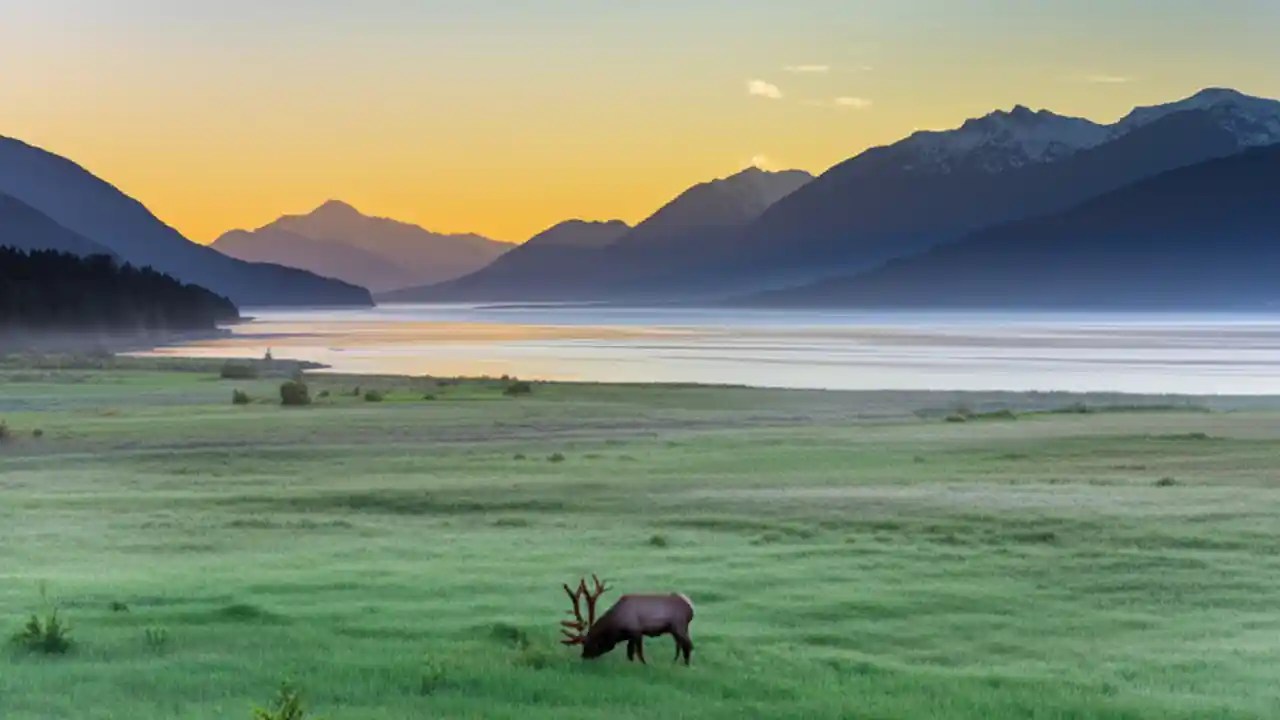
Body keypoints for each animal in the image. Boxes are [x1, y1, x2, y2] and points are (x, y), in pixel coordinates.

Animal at [559, 575, 695, 665]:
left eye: (588, 643)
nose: (583, 656)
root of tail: (690, 607)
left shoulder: (636, 631)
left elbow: (638, 654)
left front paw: (644, 665)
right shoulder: (630, 636)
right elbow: (630, 654)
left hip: (679, 625)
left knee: (688, 645)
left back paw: (686, 665)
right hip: (676, 629)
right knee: (680, 645)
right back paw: (675, 661)